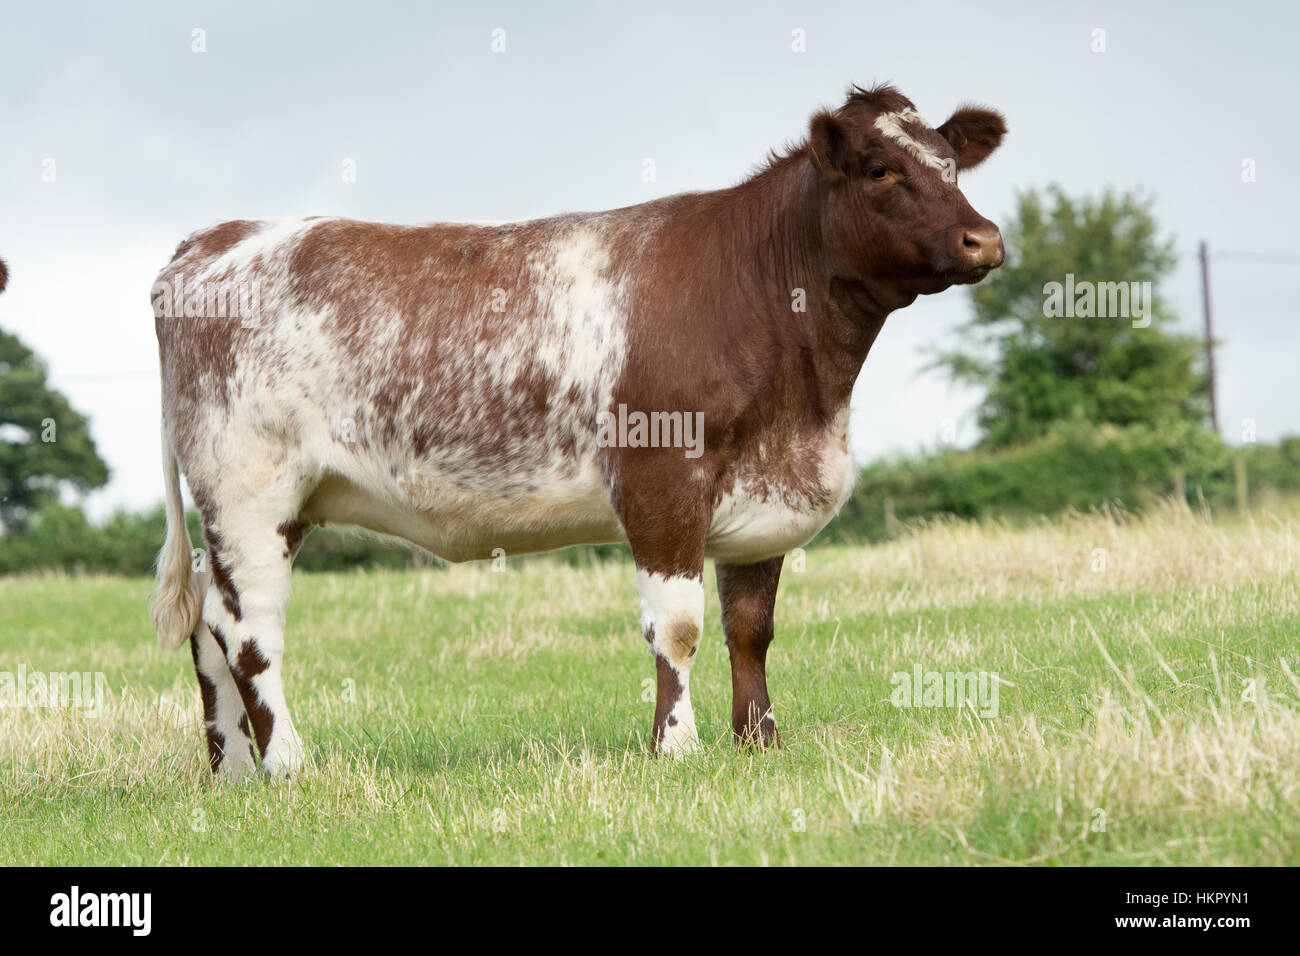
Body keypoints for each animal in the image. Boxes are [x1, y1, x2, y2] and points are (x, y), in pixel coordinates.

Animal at [149, 83, 1005, 778]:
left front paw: (760, 741)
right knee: (246, 628)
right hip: (248, 491)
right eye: (880, 171)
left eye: (951, 165)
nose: (985, 239)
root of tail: (212, 240)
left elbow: (751, 629)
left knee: (209, 628)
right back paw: (288, 764)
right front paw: (676, 746)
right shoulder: (663, 479)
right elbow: (680, 627)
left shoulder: (765, 495)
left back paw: (231, 770)